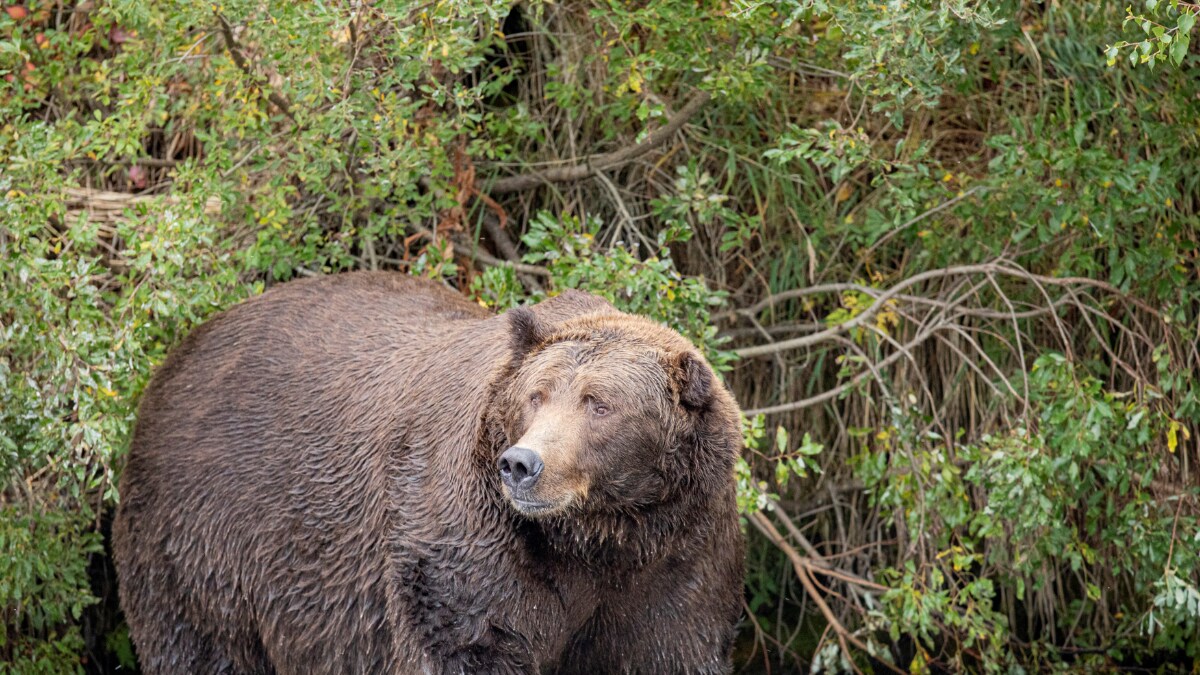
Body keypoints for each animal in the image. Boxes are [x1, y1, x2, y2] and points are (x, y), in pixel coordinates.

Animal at [112, 271, 744, 674]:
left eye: (599, 403)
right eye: (537, 395)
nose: (521, 465)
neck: (598, 538)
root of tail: (177, 356)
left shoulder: (677, 559)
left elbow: (670, 646)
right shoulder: (470, 543)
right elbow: (467, 639)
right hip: (204, 543)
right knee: (200, 646)